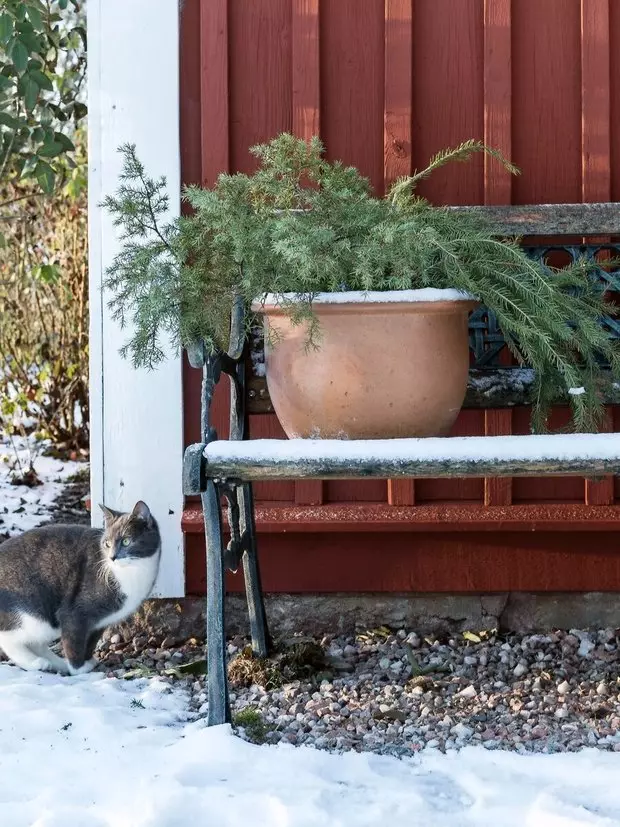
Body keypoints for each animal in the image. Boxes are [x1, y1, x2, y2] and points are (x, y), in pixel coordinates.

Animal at [0, 502, 162, 676]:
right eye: (107, 543)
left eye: (126, 541)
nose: (112, 557)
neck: (132, 572)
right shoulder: (74, 613)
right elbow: (74, 640)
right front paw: (78, 668)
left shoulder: (99, 623)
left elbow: (90, 642)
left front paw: (88, 660)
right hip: (32, 612)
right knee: (8, 637)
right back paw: (36, 663)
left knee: (35, 642)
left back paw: (55, 663)